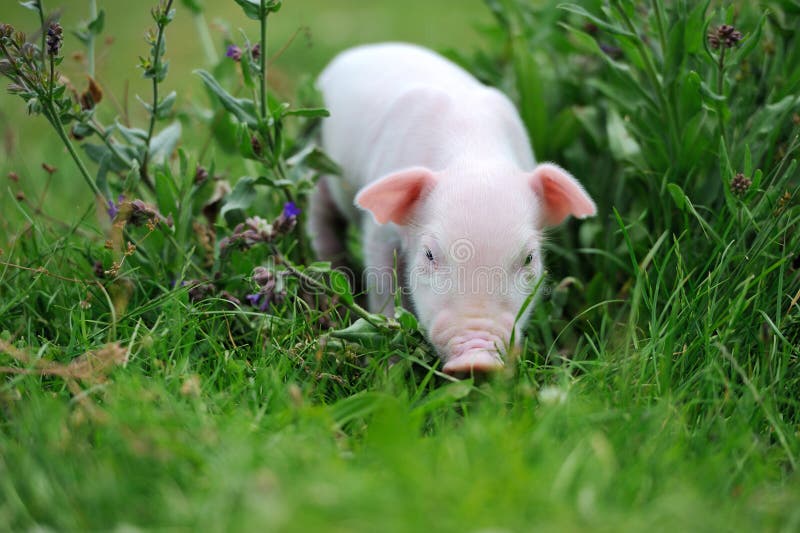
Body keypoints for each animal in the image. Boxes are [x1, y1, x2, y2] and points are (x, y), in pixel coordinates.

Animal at [309, 43, 596, 374]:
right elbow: (384, 289)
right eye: (429, 254)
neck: (475, 153)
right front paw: (391, 369)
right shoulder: (379, 233)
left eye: (529, 259)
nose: (477, 358)